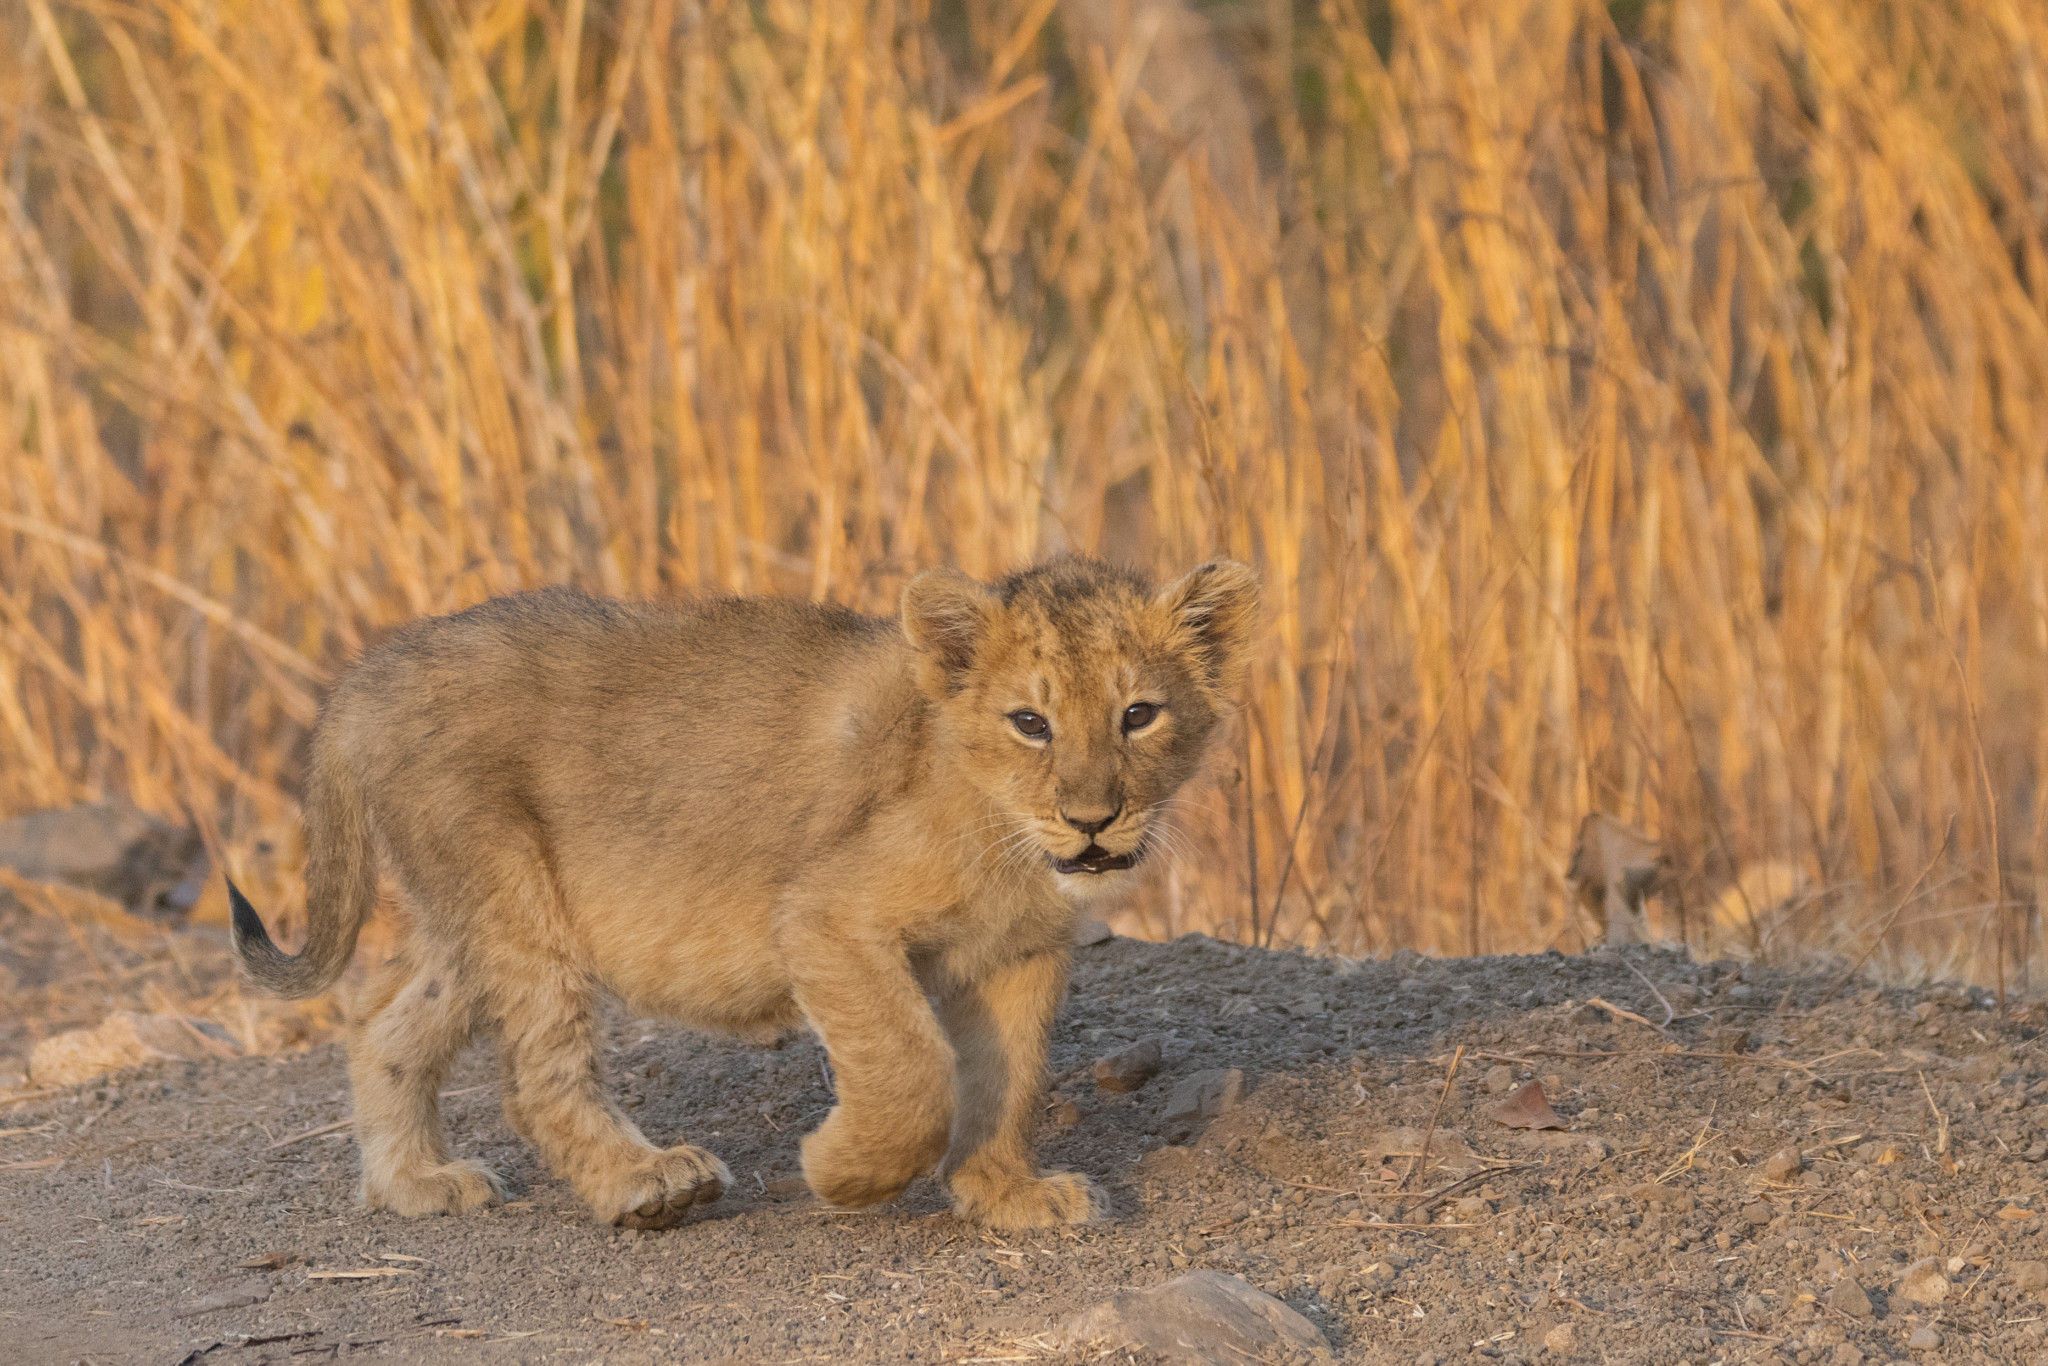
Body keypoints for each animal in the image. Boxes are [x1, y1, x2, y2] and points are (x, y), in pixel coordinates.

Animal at [229, 556, 1258, 1230]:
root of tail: (368, 676)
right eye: (1031, 723)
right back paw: (644, 1184)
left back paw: (415, 1184)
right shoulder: (827, 916)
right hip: (512, 894)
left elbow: (1009, 1077)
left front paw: (1006, 1195)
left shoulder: (1019, 953)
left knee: (383, 1016)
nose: (1094, 821)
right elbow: (913, 1070)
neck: (1006, 832)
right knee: (533, 1076)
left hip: (464, 915)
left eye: (1139, 715)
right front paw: (844, 1172)